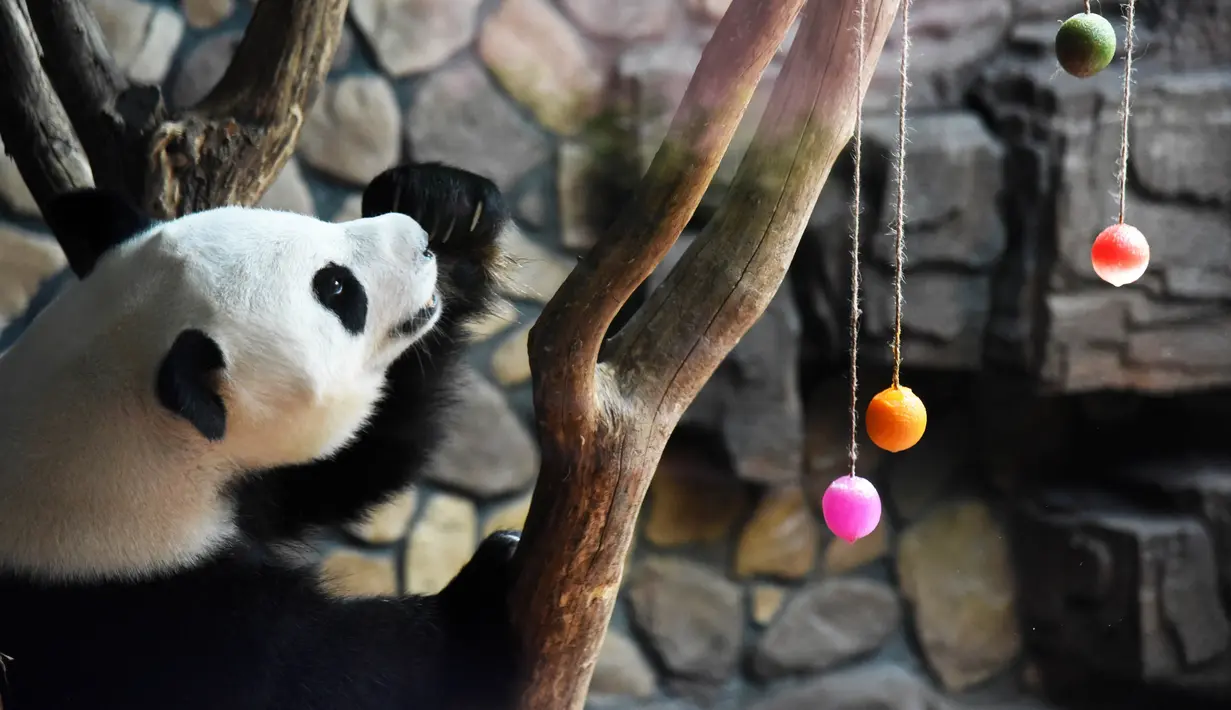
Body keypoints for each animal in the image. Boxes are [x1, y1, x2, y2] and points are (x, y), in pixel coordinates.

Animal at [0, 162, 526, 710]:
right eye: (336, 288)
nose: (419, 242)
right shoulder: (141, 611)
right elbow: (328, 676)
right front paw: (482, 597)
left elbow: (351, 462)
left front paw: (446, 209)